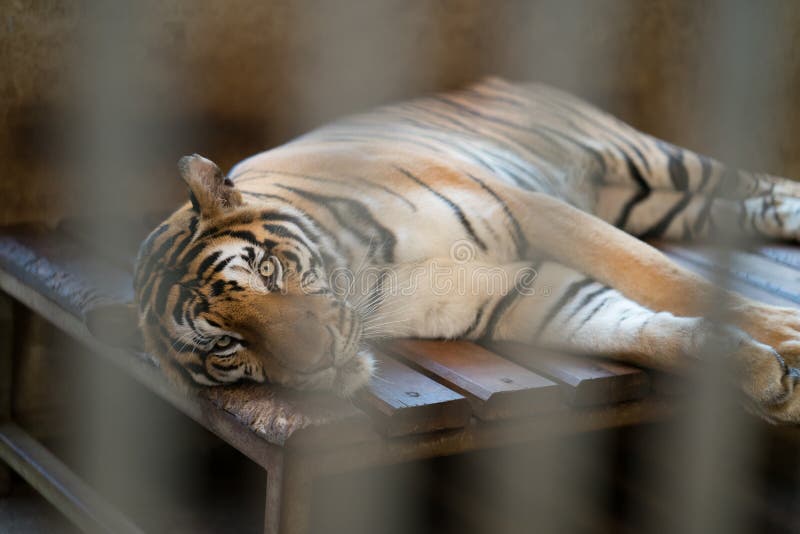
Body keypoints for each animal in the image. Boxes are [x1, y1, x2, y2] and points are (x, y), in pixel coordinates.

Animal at [133, 77, 800, 424]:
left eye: (267, 270)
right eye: (225, 344)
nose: (317, 355)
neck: (371, 279)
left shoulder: (533, 211)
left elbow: (659, 275)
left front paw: (784, 330)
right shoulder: (513, 296)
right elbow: (638, 330)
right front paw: (770, 379)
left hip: (658, 161)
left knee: (770, 183)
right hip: (667, 202)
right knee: (768, 202)